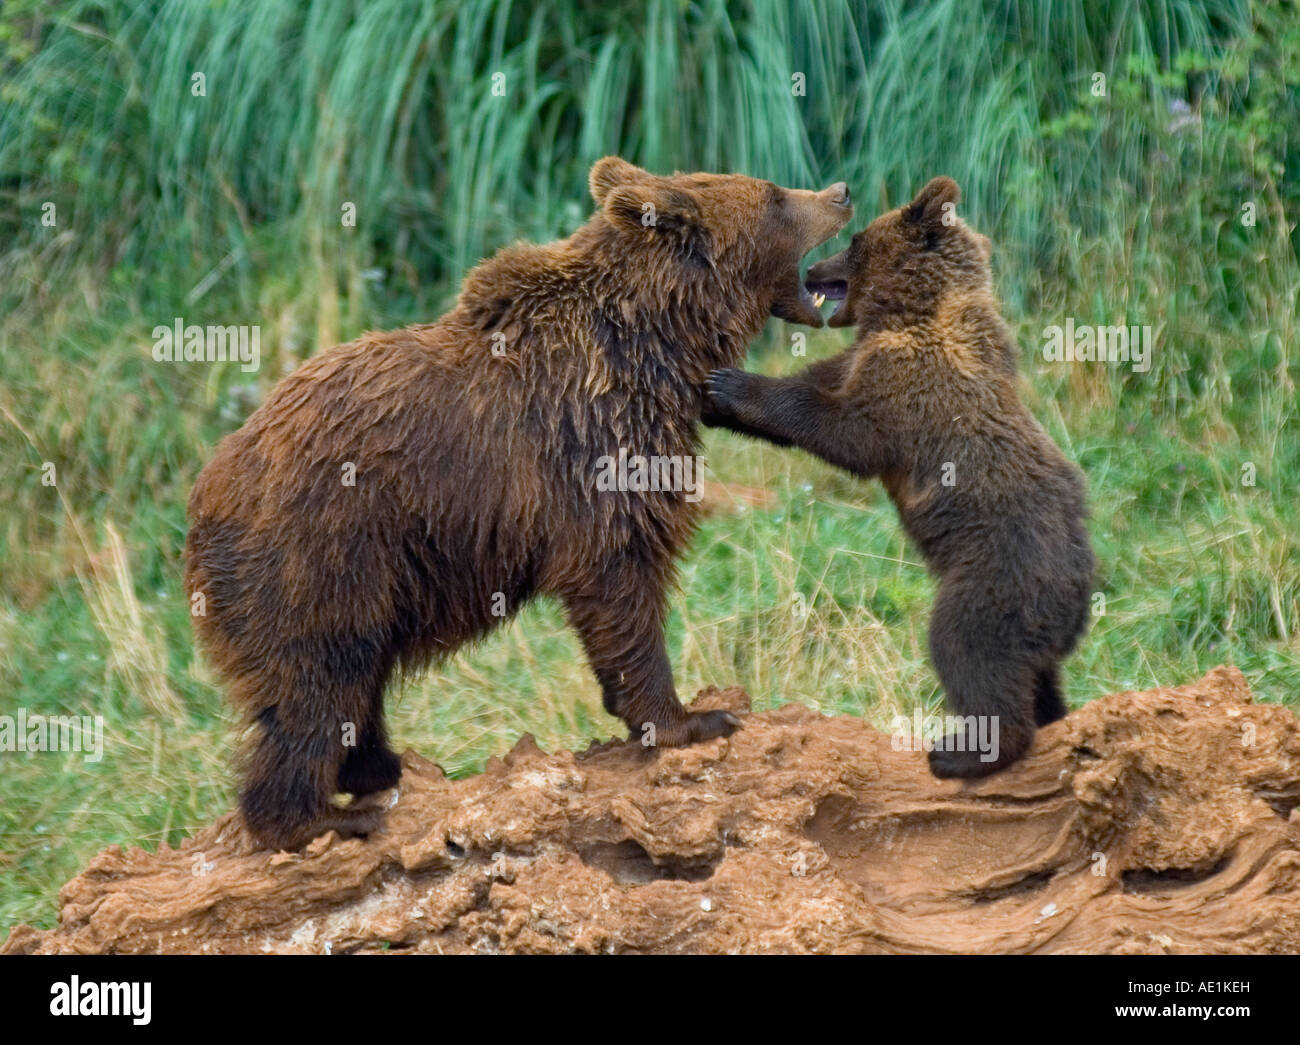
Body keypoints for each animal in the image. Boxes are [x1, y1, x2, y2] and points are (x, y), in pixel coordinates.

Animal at [184, 156, 853, 850]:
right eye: (774, 196)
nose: (840, 192)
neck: (658, 347)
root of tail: (207, 490)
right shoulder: (591, 446)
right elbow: (621, 575)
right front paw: (692, 718)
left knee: (348, 683)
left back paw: (385, 768)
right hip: (320, 551)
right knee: (316, 682)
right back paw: (326, 816)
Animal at [704, 176, 1093, 778]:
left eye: (854, 240)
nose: (812, 270)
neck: (912, 312)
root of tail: (1081, 597)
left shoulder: (909, 383)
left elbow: (845, 431)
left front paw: (733, 383)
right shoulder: (859, 358)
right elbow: (816, 385)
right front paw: (709, 394)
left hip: (994, 581)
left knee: (968, 651)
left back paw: (963, 752)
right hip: (1037, 626)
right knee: (1038, 678)